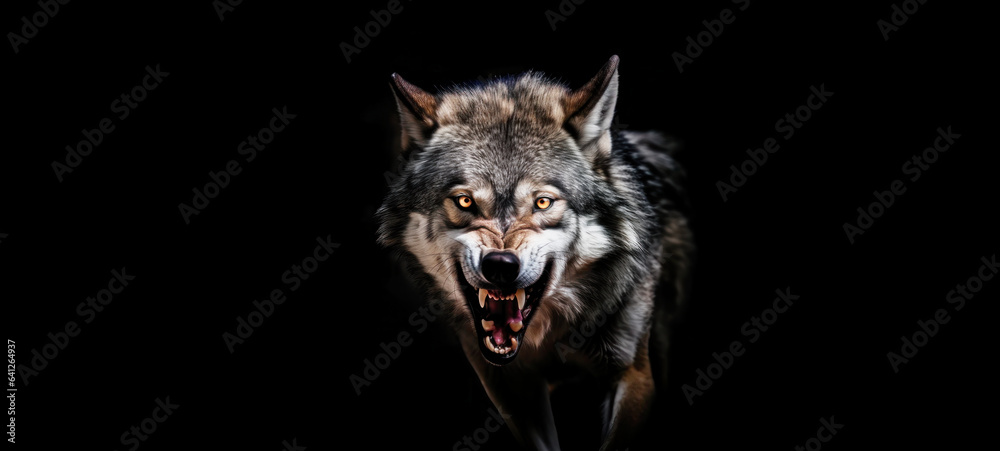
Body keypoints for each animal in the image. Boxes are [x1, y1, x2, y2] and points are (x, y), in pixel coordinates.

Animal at [377, 56, 694, 450]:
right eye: (464, 201)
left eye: (543, 202)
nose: (499, 265)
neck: (551, 339)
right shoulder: (510, 388)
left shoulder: (634, 374)